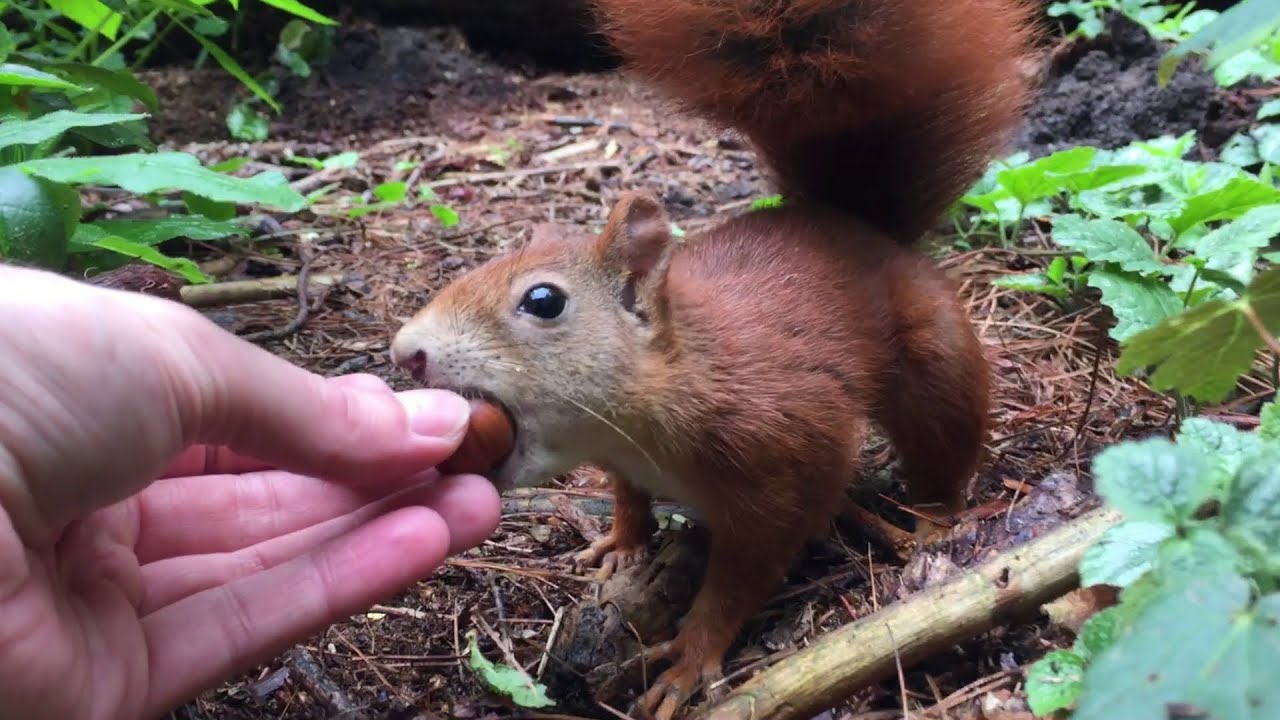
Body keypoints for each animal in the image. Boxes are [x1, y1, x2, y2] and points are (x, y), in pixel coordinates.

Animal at [390, 0, 1038, 717]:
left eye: (543, 300)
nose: (406, 351)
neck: (661, 394)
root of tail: (854, 228)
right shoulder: (623, 458)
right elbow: (629, 495)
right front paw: (623, 542)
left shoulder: (785, 467)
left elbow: (744, 575)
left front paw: (691, 655)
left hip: (936, 358)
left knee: (945, 441)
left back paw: (933, 522)